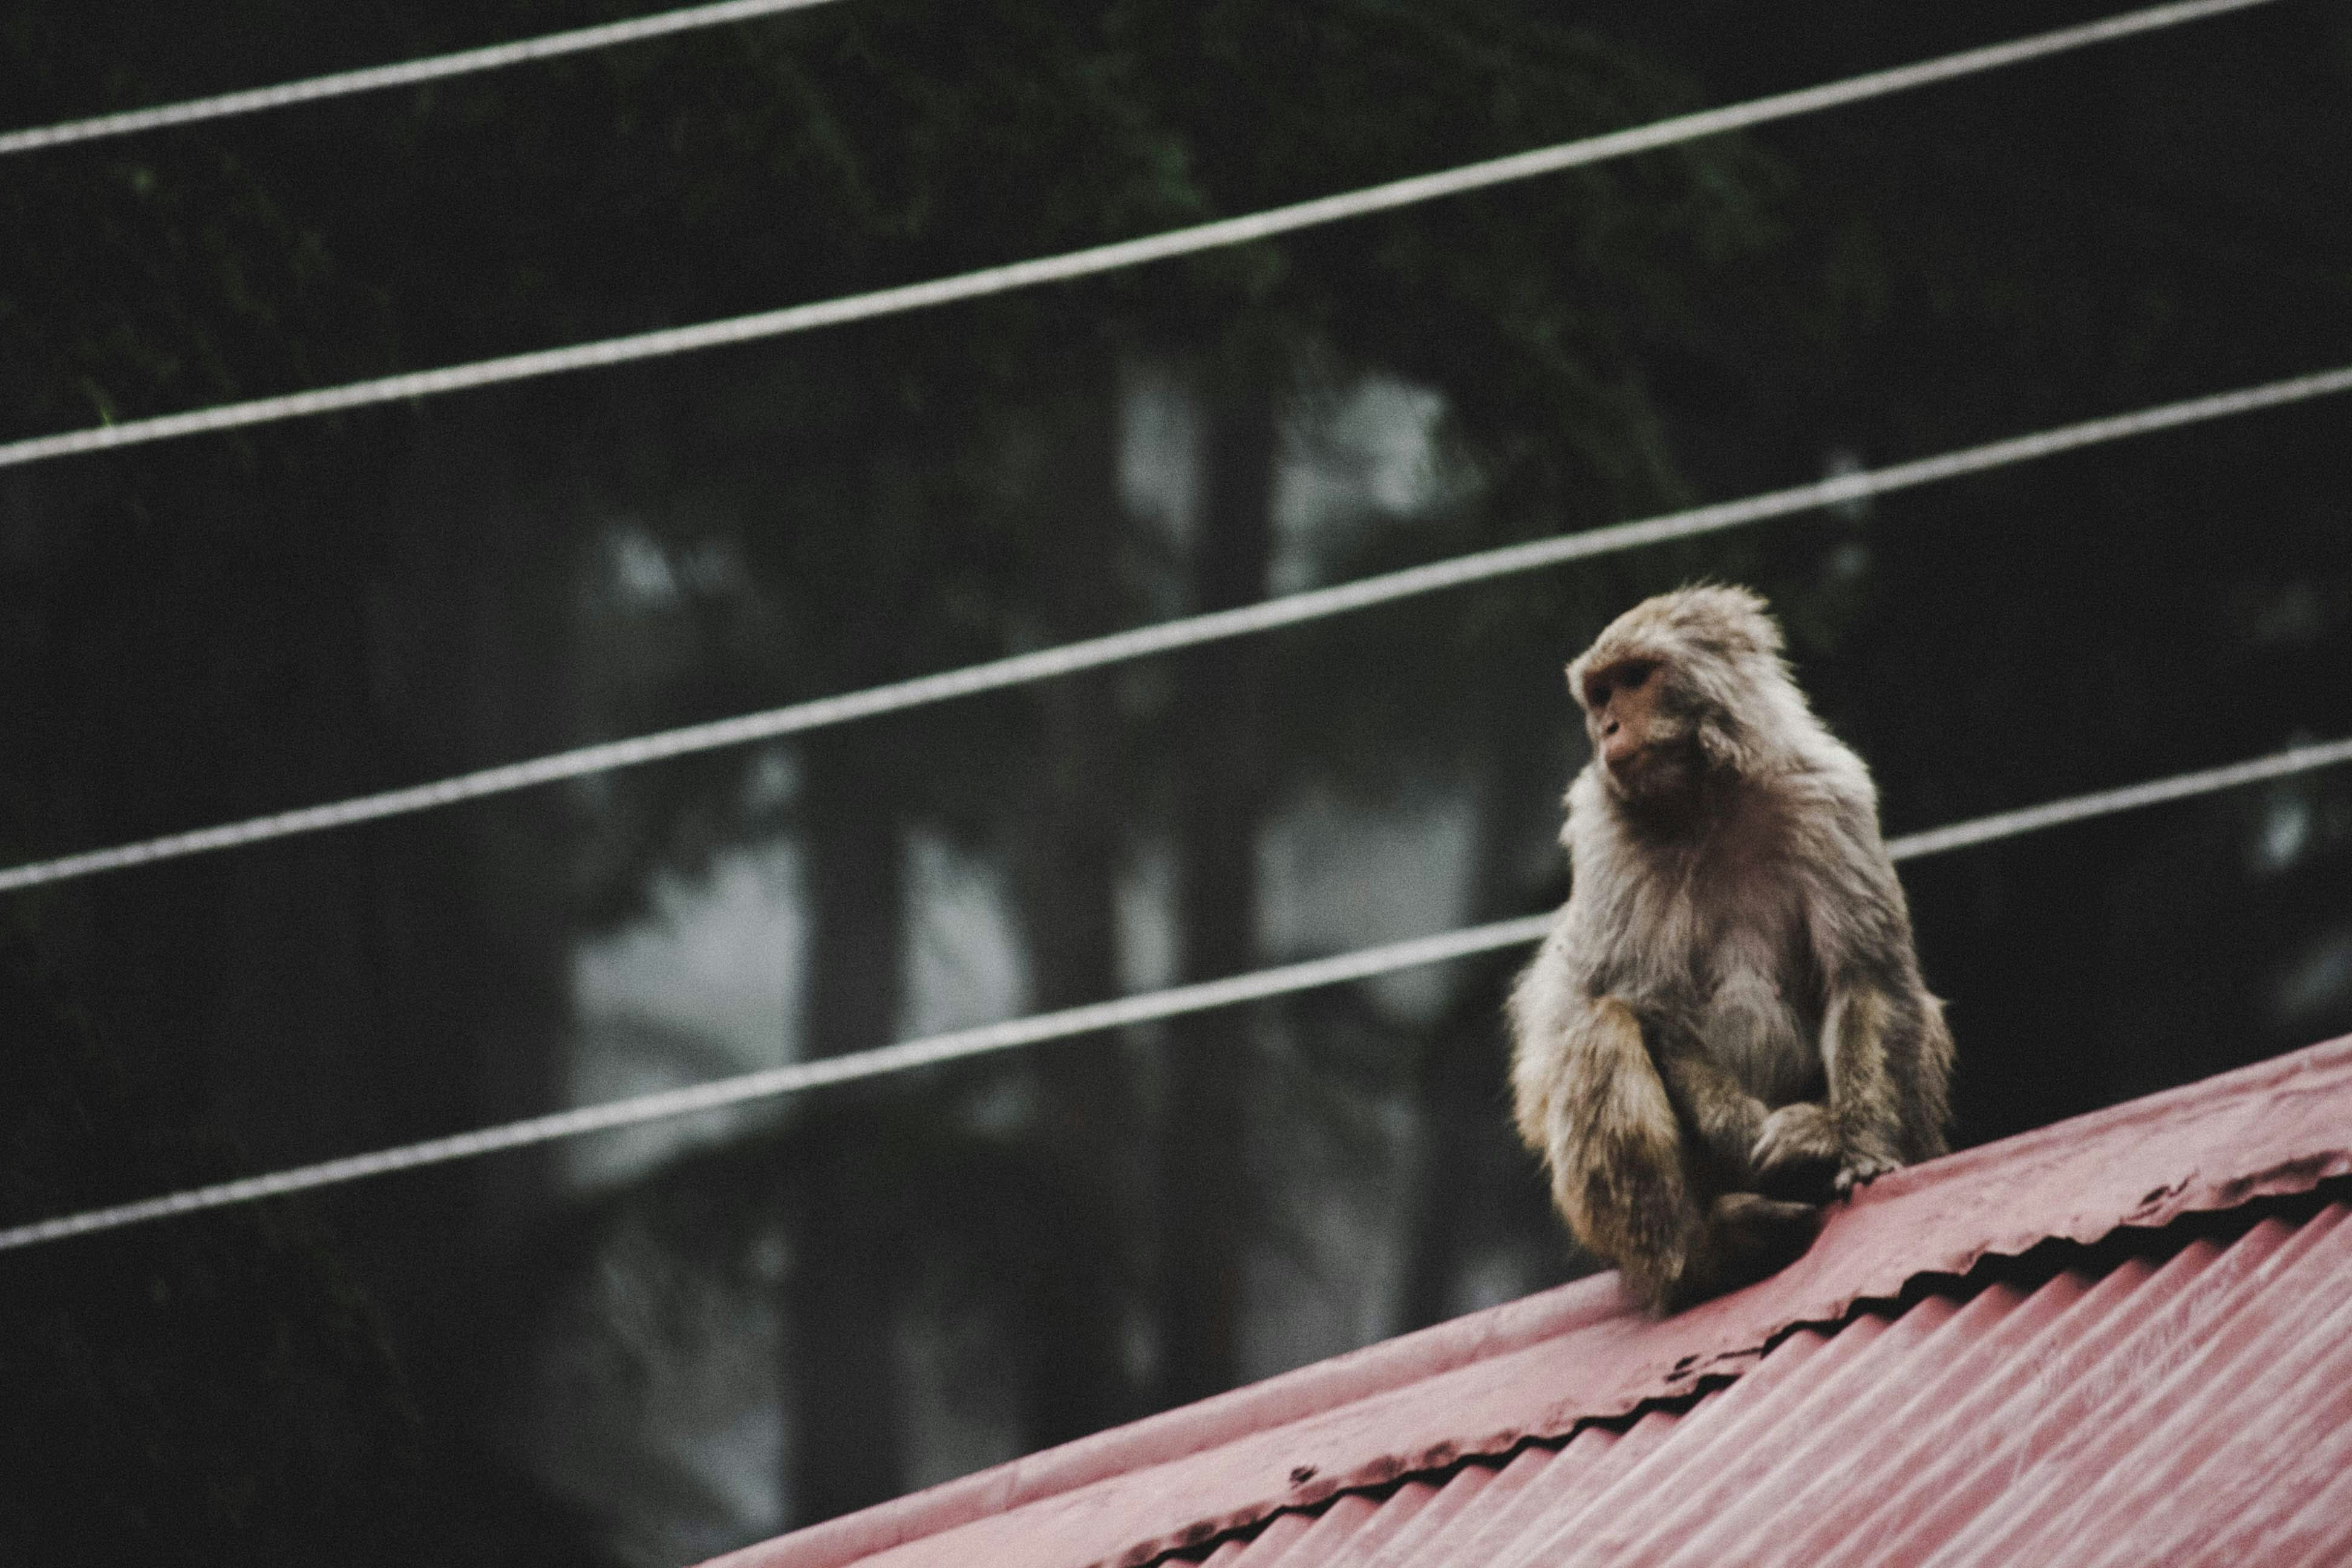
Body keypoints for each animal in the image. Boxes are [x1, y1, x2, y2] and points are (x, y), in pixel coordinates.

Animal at [1507, 585, 1952, 1312]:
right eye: (1599, 695)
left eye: (1634, 679)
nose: (1608, 729)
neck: (1708, 799)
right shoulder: (1606, 833)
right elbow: (1648, 1004)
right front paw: (1755, 1137)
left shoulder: (1829, 795)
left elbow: (1864, 978)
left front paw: (1855, 1146)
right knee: (1598, 1025)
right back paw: (1699, 1258)